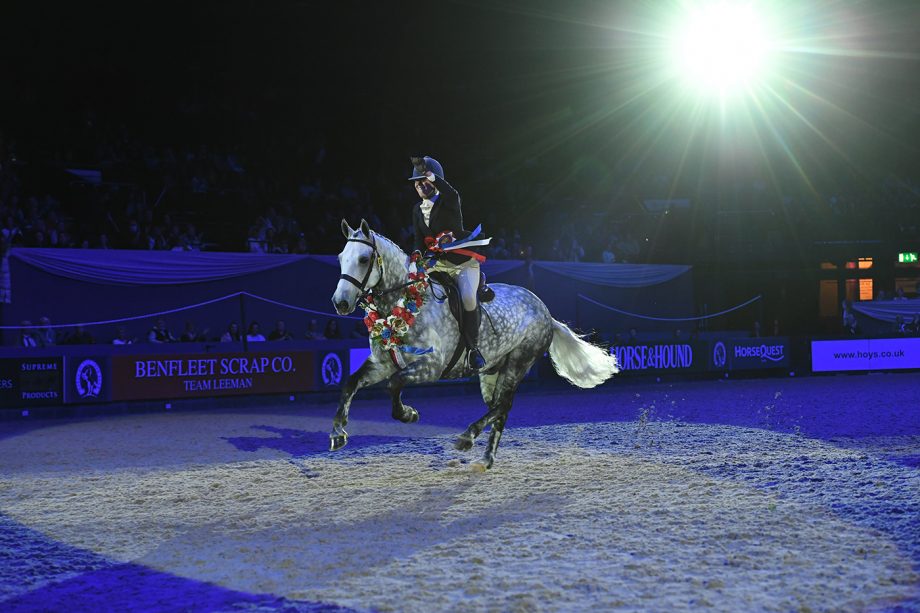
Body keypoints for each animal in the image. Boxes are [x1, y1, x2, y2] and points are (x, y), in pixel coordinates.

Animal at [330, 219, 619, 470]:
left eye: (363, 259)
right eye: (341, 258)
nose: (340, 303)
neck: (402, 304)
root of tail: (545, 311)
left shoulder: (430, 367)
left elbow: (394, 384)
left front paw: (408, 414)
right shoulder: (382, 364)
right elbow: (351, 383)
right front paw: (338, 433)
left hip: (519, 362)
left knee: (504, 405)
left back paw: (467, 437)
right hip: (492, 370)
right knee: (499, 408)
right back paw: (486, 458)